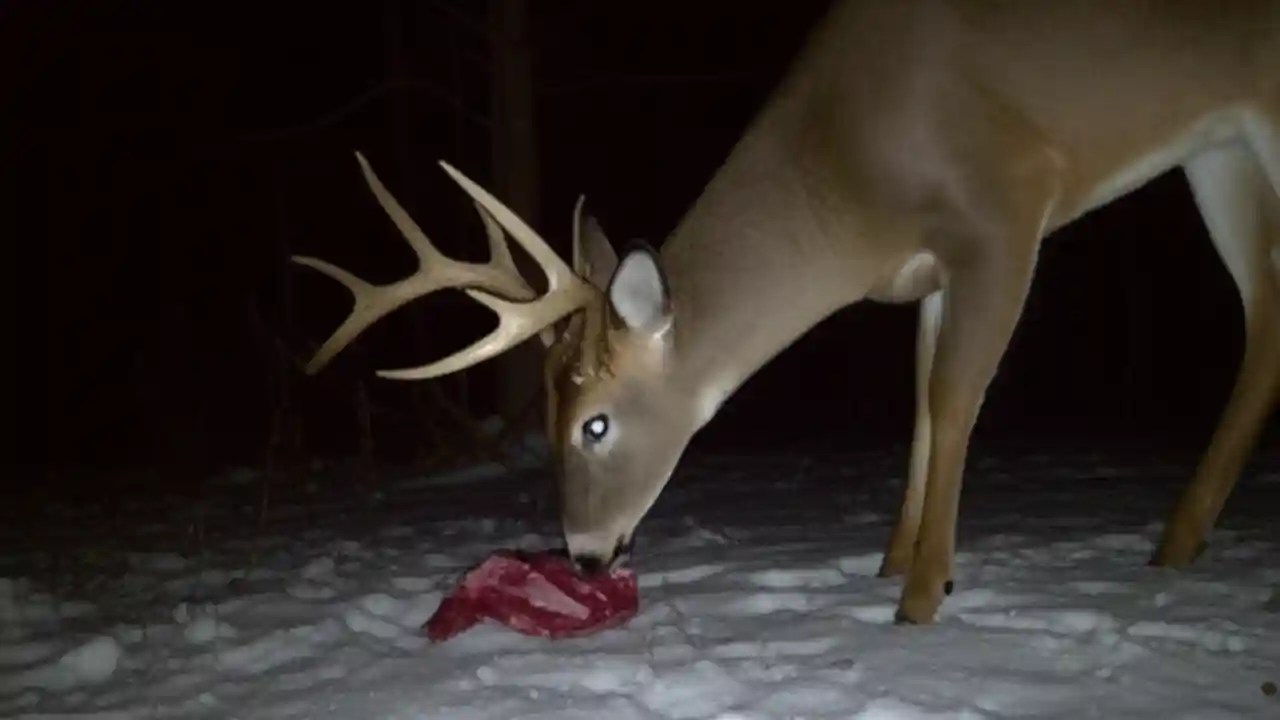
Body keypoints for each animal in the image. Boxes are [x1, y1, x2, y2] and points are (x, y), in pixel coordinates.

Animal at [293, 0, 1279, 624]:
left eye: (595, 425)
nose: (583, 556)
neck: (850, 179)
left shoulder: (1004, 204)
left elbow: (957, 398)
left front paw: (921, 597)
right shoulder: (931, 271)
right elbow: (921, 406)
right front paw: (892, 562)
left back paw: (1176, 536)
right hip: (1217, 148)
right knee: (1266, 314)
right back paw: (1181, 538)